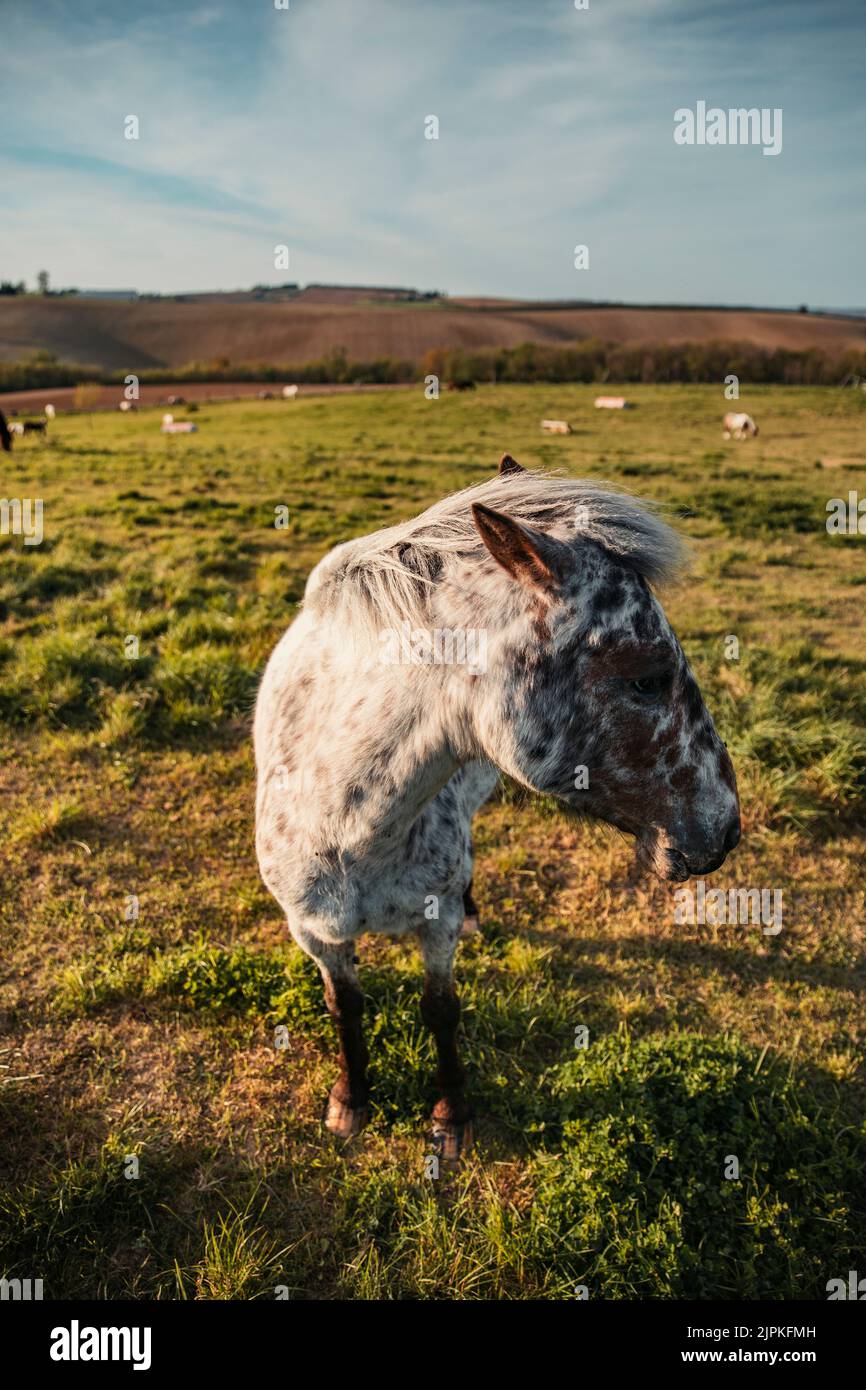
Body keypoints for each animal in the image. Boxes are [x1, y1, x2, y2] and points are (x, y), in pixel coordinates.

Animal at [254, 454, 741, 1156]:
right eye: (647, 677)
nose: (727, 828)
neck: (348, 829)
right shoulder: (312, 931)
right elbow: (345, 1007)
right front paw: (351, 1101)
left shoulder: (437, 925)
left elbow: (441, 1009)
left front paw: (450, 1115)